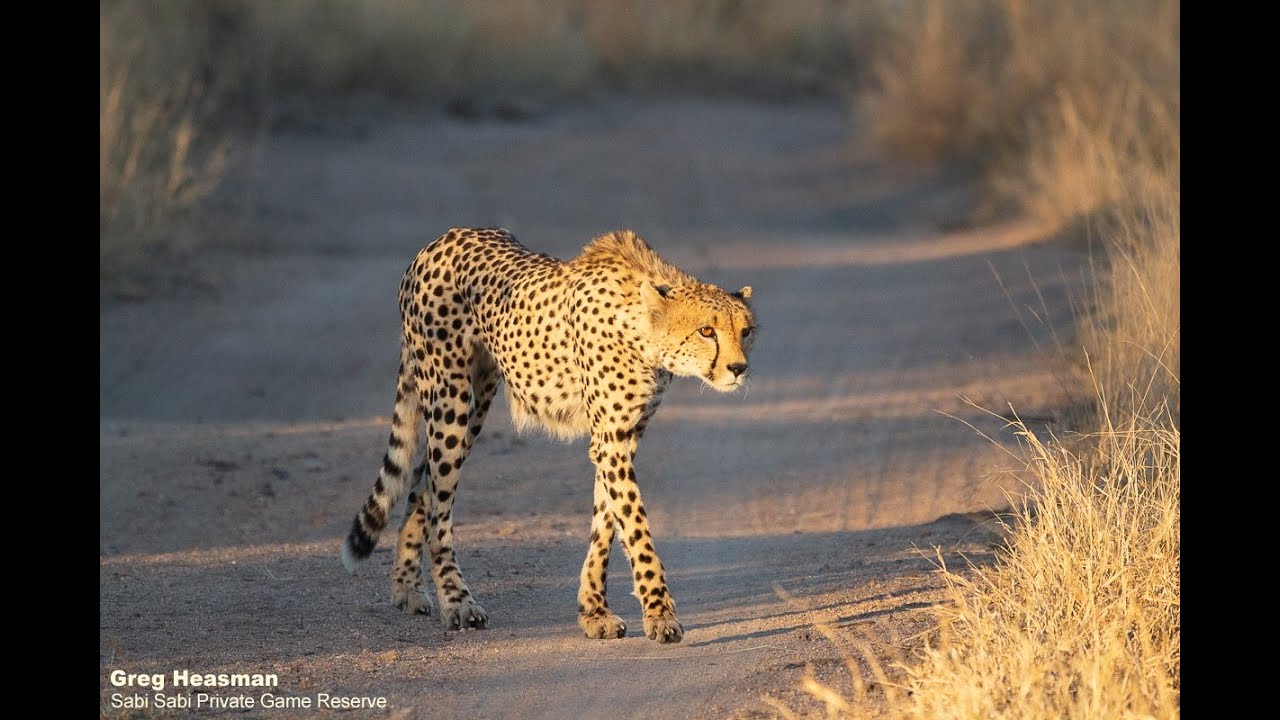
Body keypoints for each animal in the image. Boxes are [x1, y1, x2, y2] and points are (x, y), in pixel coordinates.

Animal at [341, 227, 756, 643]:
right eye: (706, 330)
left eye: (746, 331)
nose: (739, 368)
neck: (643, 329)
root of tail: (440, 240)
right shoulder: (612, 441)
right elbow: (636, 526)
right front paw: (660, 614)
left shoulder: (622, 437)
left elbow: (606, 521)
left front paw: (593, 611)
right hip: (450, 400)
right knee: (439, 502)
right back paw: (458, 602)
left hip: (475, 402)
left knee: (420, 482)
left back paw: (407, 588)